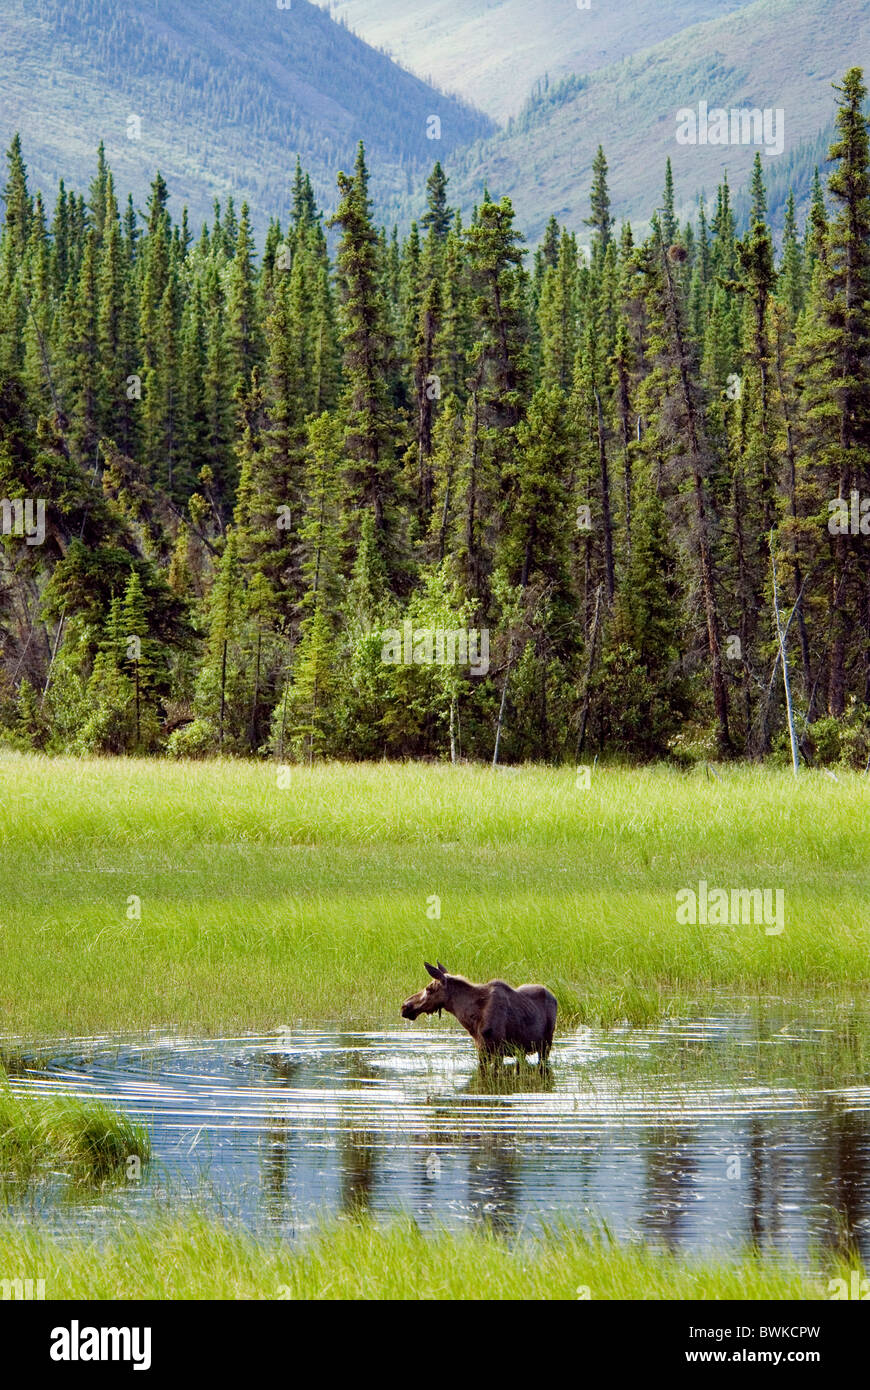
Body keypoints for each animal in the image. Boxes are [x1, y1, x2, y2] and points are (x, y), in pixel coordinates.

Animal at [401, 962, 557, 1066]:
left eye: (429, 989)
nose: (405, 1006)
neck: (471, 1020)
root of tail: (554, 996)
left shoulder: (496, 1049)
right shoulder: (481, 1049)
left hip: (546, 1044)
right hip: (523, 1050)